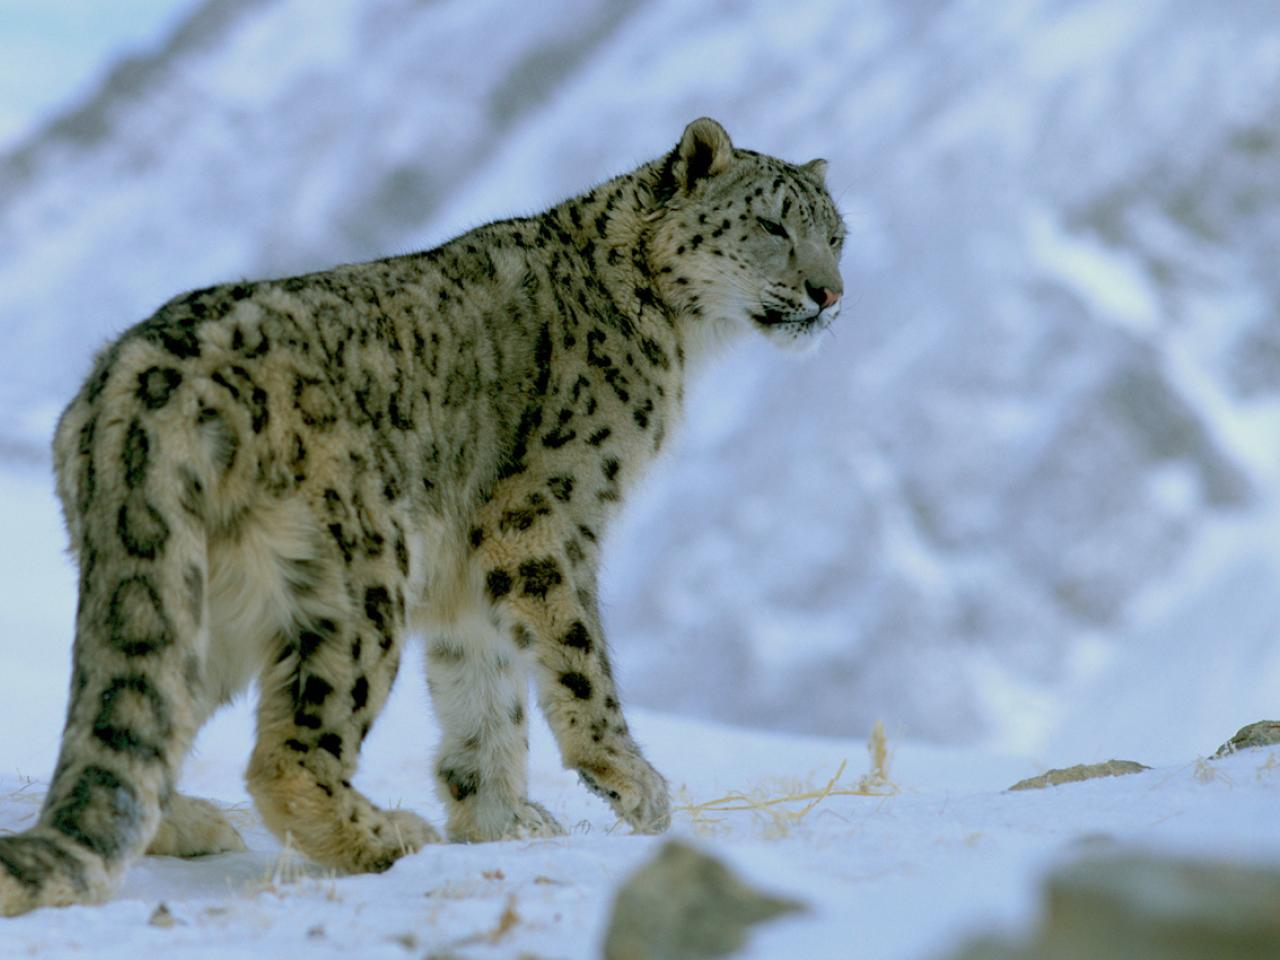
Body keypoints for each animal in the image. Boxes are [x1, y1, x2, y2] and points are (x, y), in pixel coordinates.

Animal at [0, 117, 844, 915]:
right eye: (773, 227)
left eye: (837, 236)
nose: (829, 294)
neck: (678, 341)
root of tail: (136, 383)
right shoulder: (544, 520)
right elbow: (578, 654)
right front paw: (634, 786)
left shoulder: (467, 569)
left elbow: (485, 689)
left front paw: (503, 818)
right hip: (360, 576)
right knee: (287, 756)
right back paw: (387, 835)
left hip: (202, 593)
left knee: (151, 714)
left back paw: (191, 823)